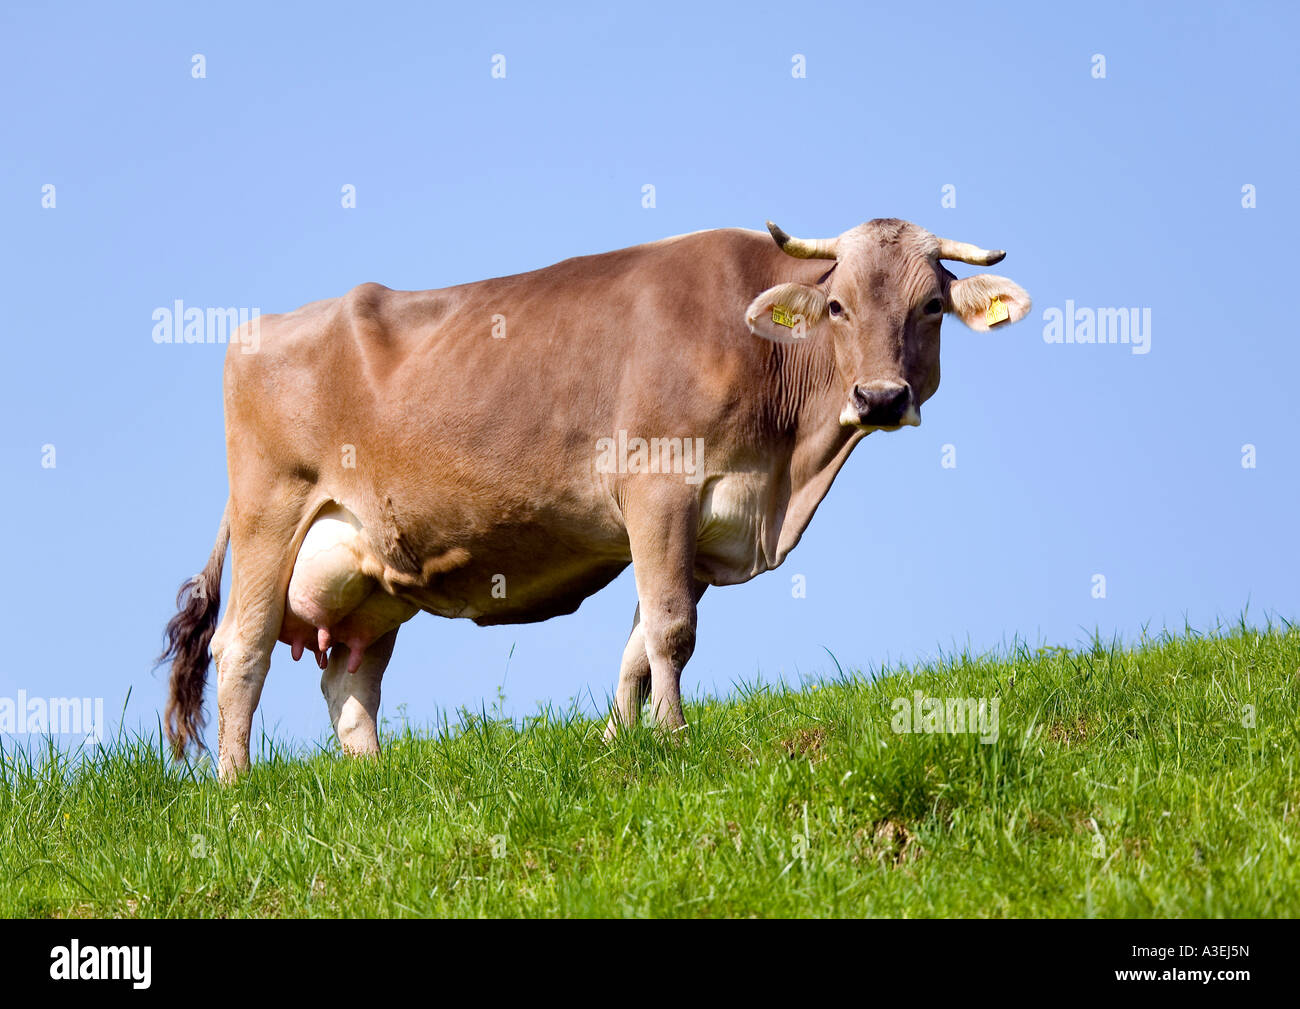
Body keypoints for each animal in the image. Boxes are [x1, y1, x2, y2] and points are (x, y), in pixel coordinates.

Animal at [159, 217, 1031, 779]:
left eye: (930, 306)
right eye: (840, 305)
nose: (881, 397)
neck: (788, 475)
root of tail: (268, 325)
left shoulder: (699, 527)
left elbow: (641, 641)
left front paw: (619, 741)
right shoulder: (658, 487)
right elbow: (671, 632)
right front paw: (675, 738)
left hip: (372, 571)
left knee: (350, 679)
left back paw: (371, 780)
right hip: (272, 510)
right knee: (240, 648)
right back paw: (237, 787)